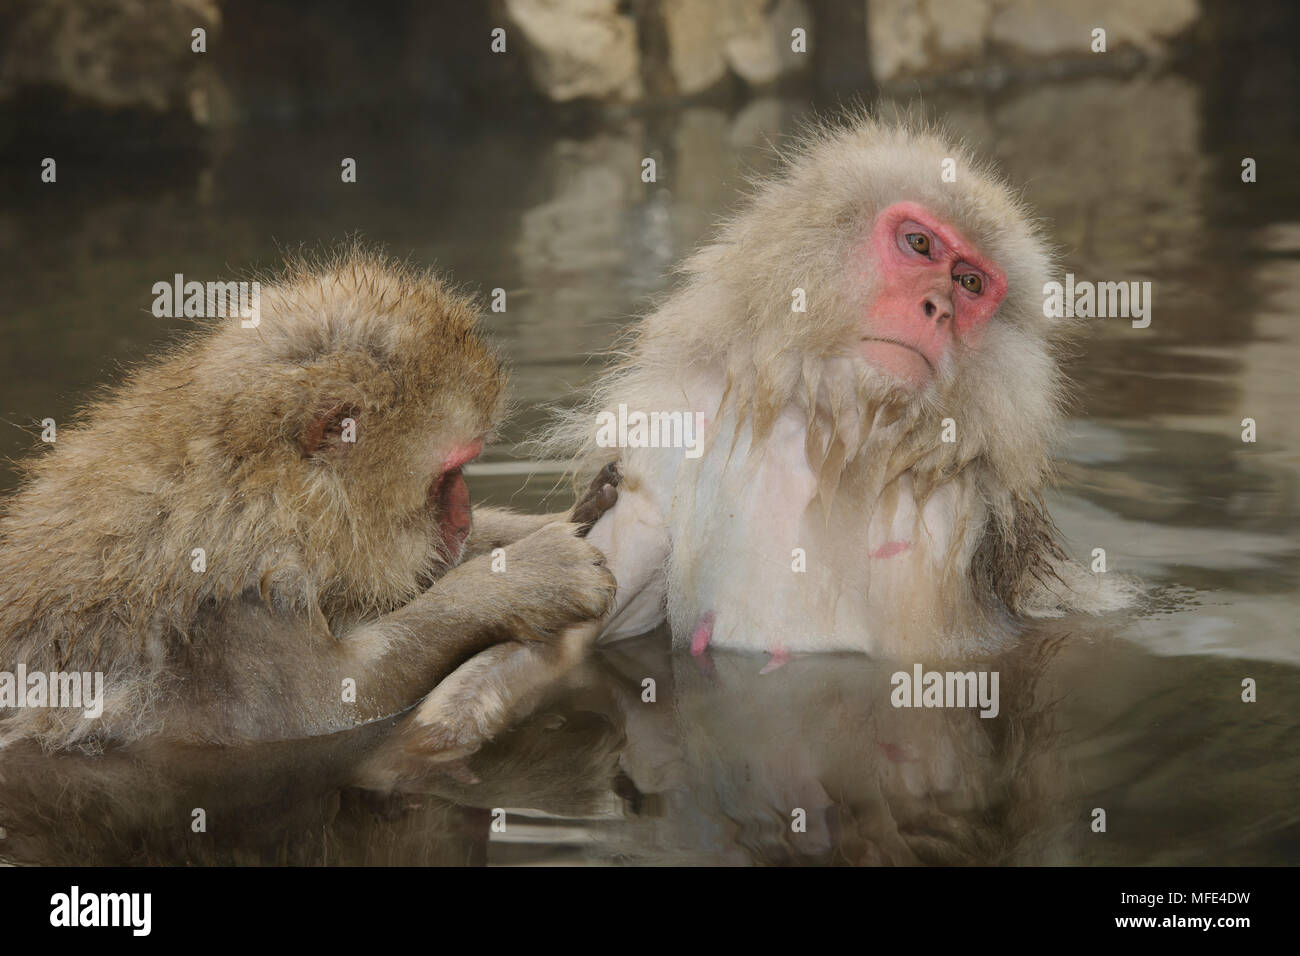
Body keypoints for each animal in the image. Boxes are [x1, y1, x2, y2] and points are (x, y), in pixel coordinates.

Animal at [0, 246, 618, 754]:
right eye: (451, 472)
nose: (463, 520)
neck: (263, 487)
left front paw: (565, 517)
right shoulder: (238, 598)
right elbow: (316, 706)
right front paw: (525, 578)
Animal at [549, 112, 1137, 663]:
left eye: (970, 283)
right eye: (919, 243)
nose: (939, 309)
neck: (835, 431)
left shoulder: (968, 513)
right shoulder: (663, 438)